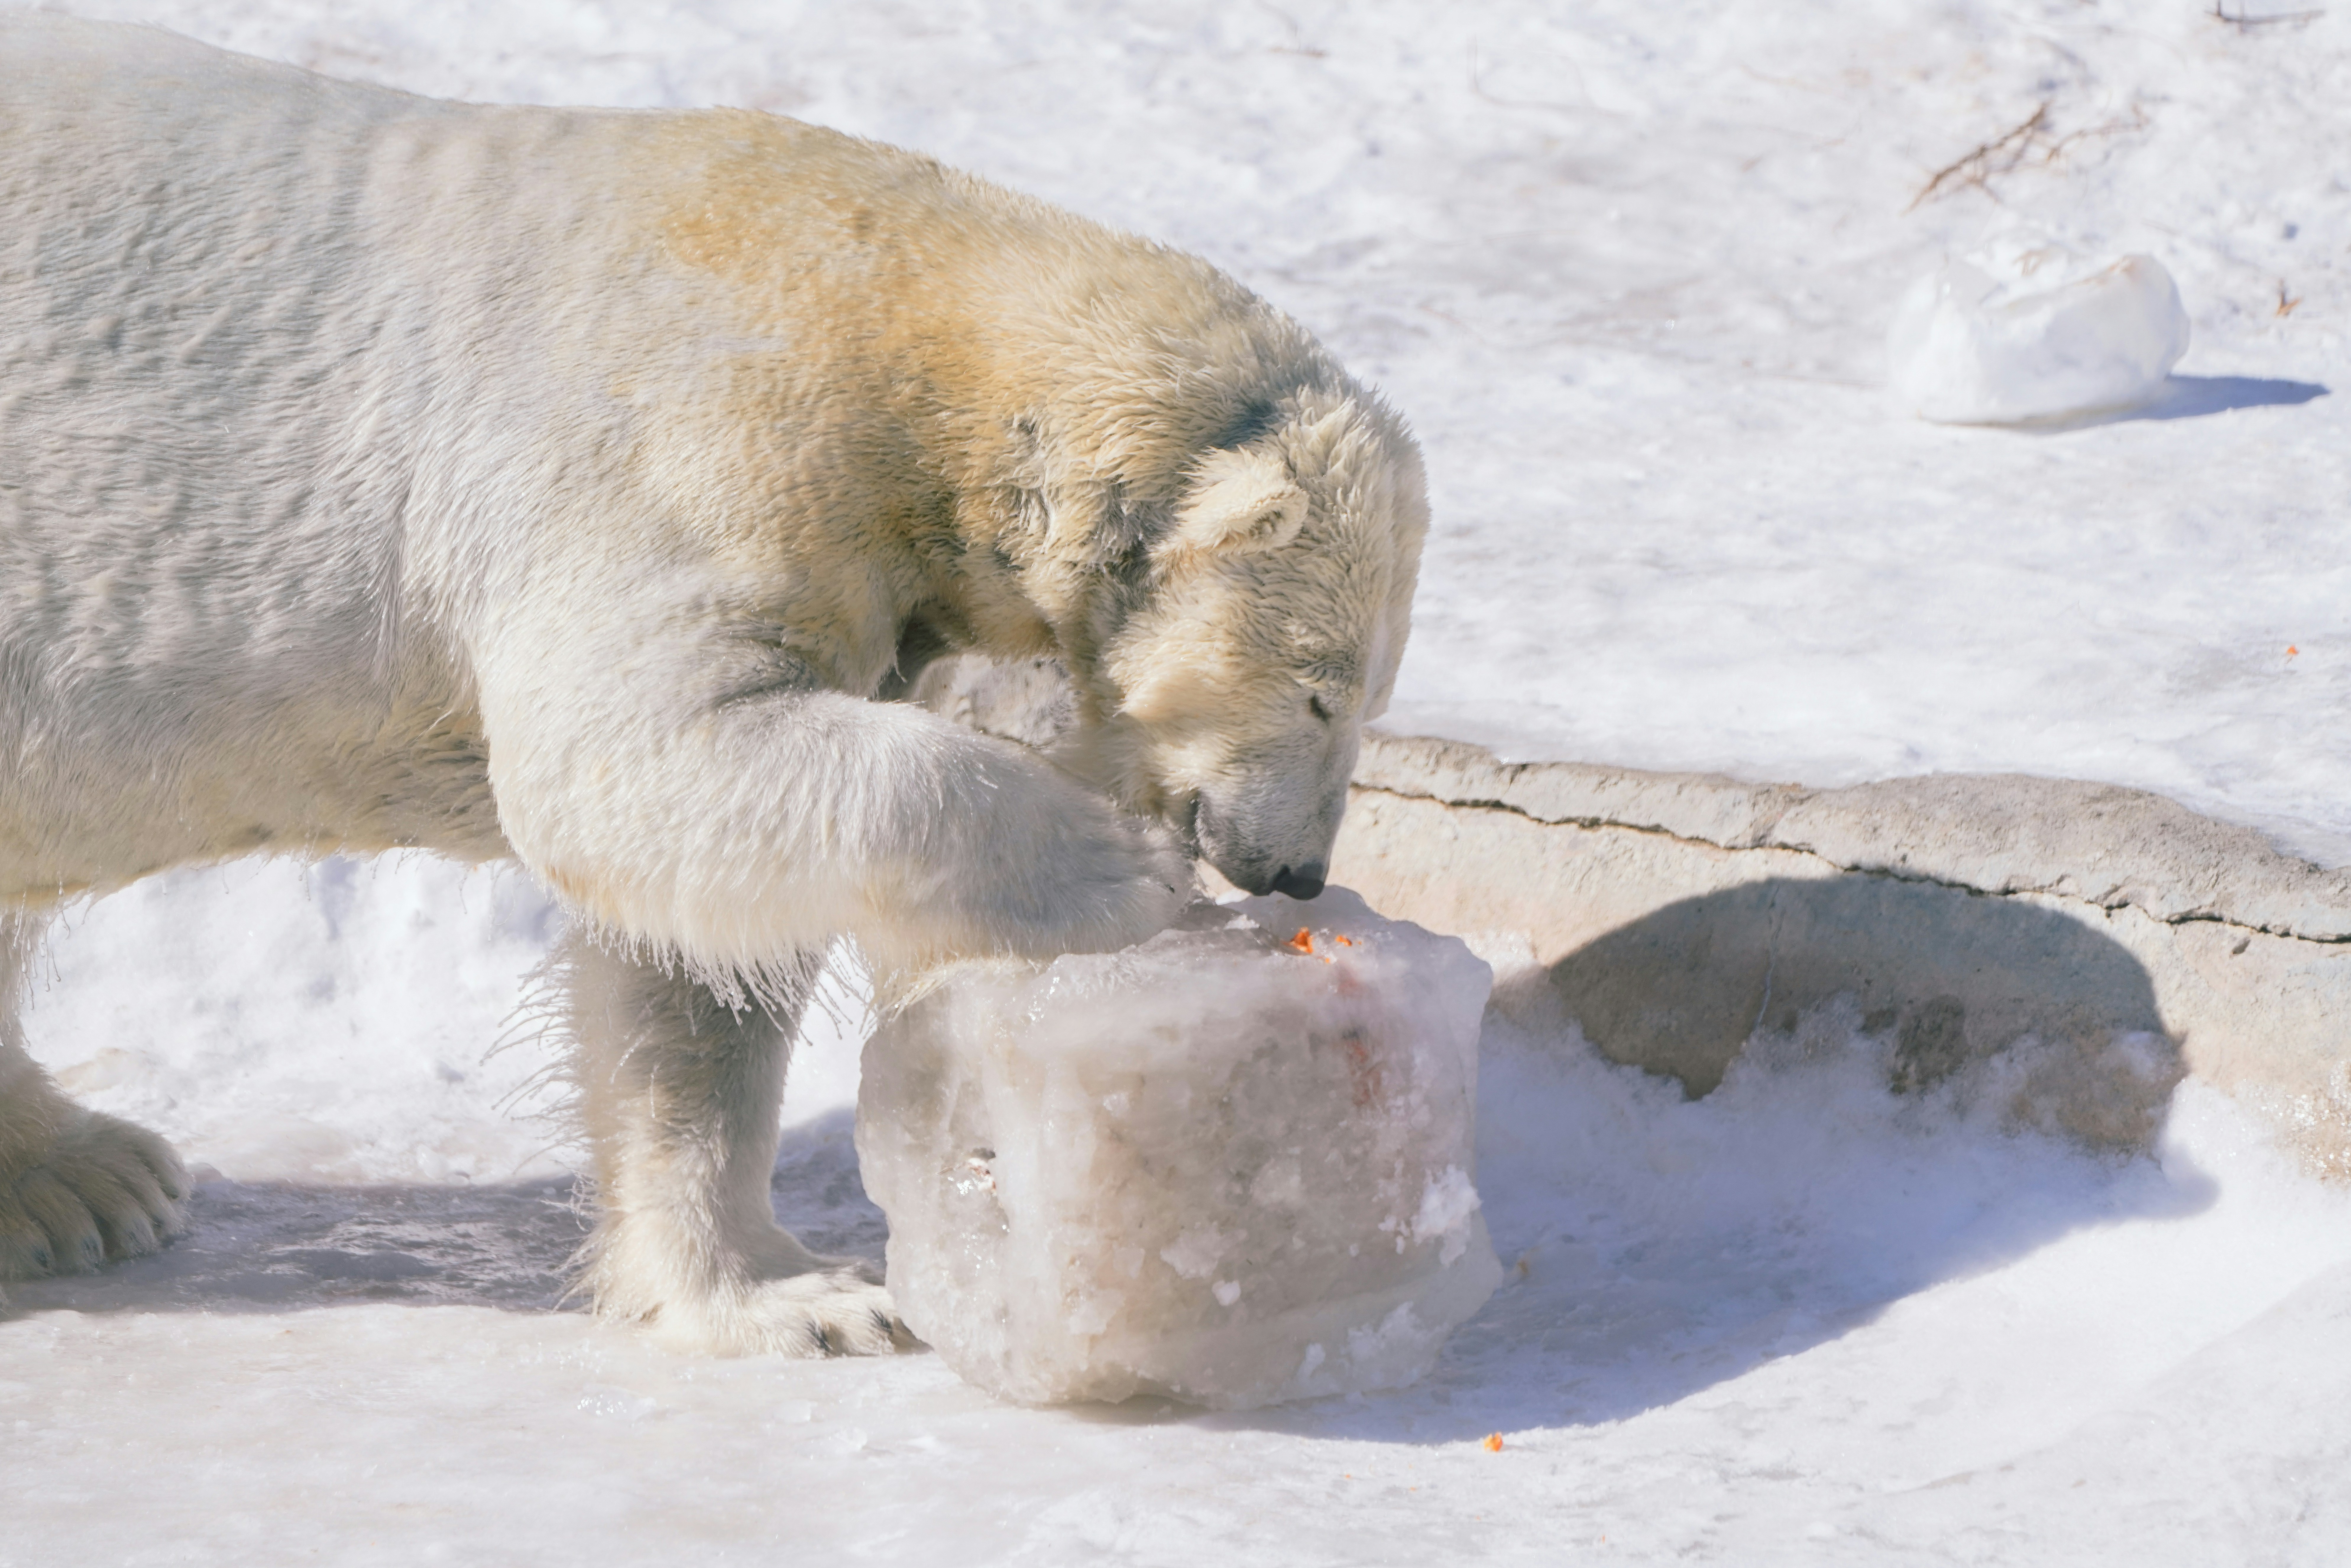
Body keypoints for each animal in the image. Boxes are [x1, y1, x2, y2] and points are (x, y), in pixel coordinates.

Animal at [0, 14, 1428, 1355]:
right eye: (1320, 691)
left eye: (1365, 702)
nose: (1294, 870)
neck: (895, 312)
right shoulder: (687, 447)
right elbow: (632, 759)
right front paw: (1113, 868)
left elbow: (691, 970)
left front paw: (794, 1294)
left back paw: (80, 1179)